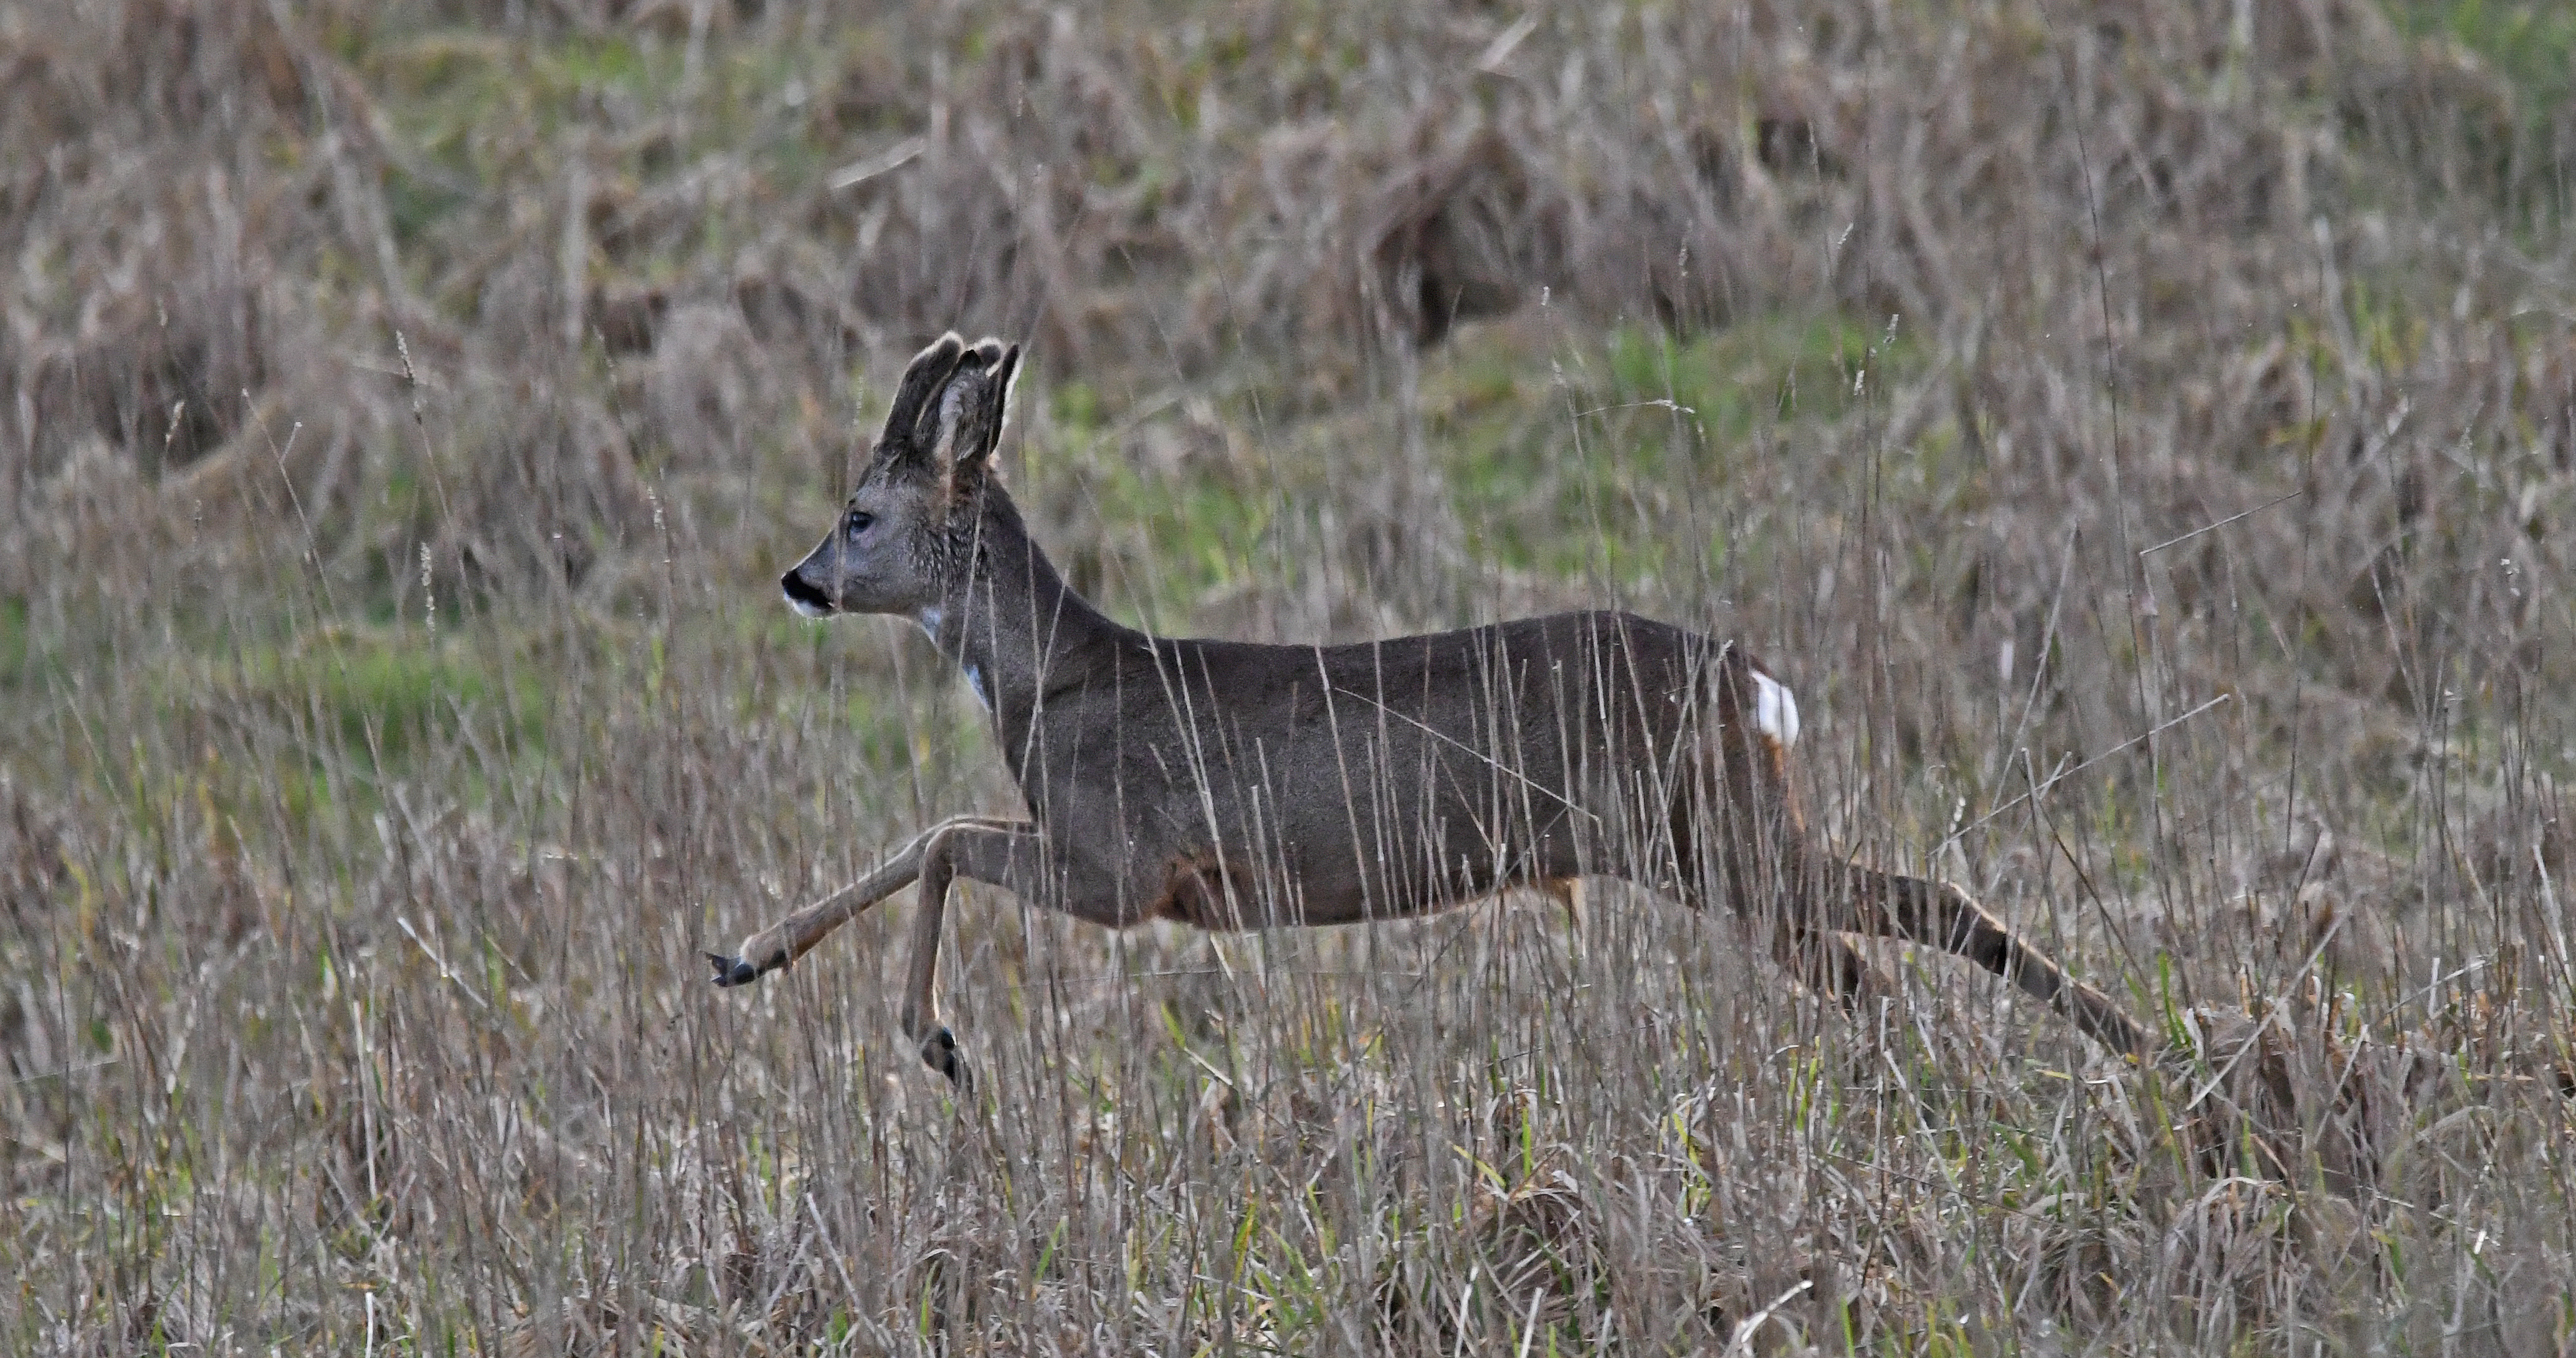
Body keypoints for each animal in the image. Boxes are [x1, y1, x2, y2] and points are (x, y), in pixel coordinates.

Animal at [710, 333, 2155, 1087]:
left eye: (858, 512)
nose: (799, 578)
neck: (1049, 680)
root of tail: (1754, 683)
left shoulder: (1124, 860)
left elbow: (942, 835)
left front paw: (925, 1035)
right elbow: (936, 836)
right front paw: (758, 963)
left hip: (1712, 829)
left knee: (1919, 908)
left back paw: (2128, 1040)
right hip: (1710, 843)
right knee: (1875, 952)